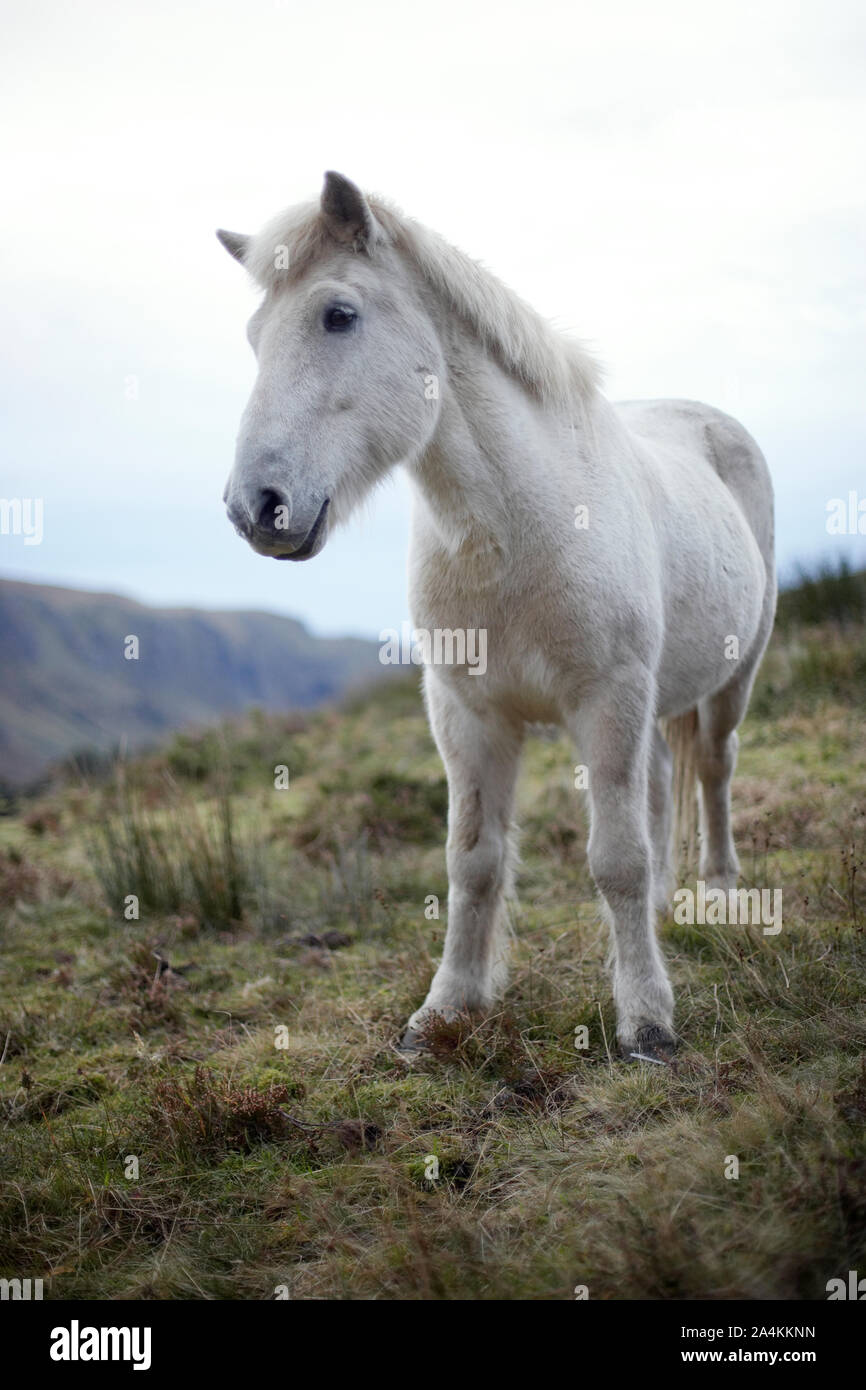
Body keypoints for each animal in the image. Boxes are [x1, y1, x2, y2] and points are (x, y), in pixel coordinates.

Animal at [217, 171, 776, 1061]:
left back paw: (717, 896)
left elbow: (616, 857)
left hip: (732, 678)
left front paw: (647, 1020)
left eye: (338, 314)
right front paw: (446, 1010)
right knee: (662, 783)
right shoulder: (467, 714)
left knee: (714, 771)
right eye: (252, 335)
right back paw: (660, 915)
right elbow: (473, 862)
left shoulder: (605, 700)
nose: (255, 508)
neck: (519, 527)